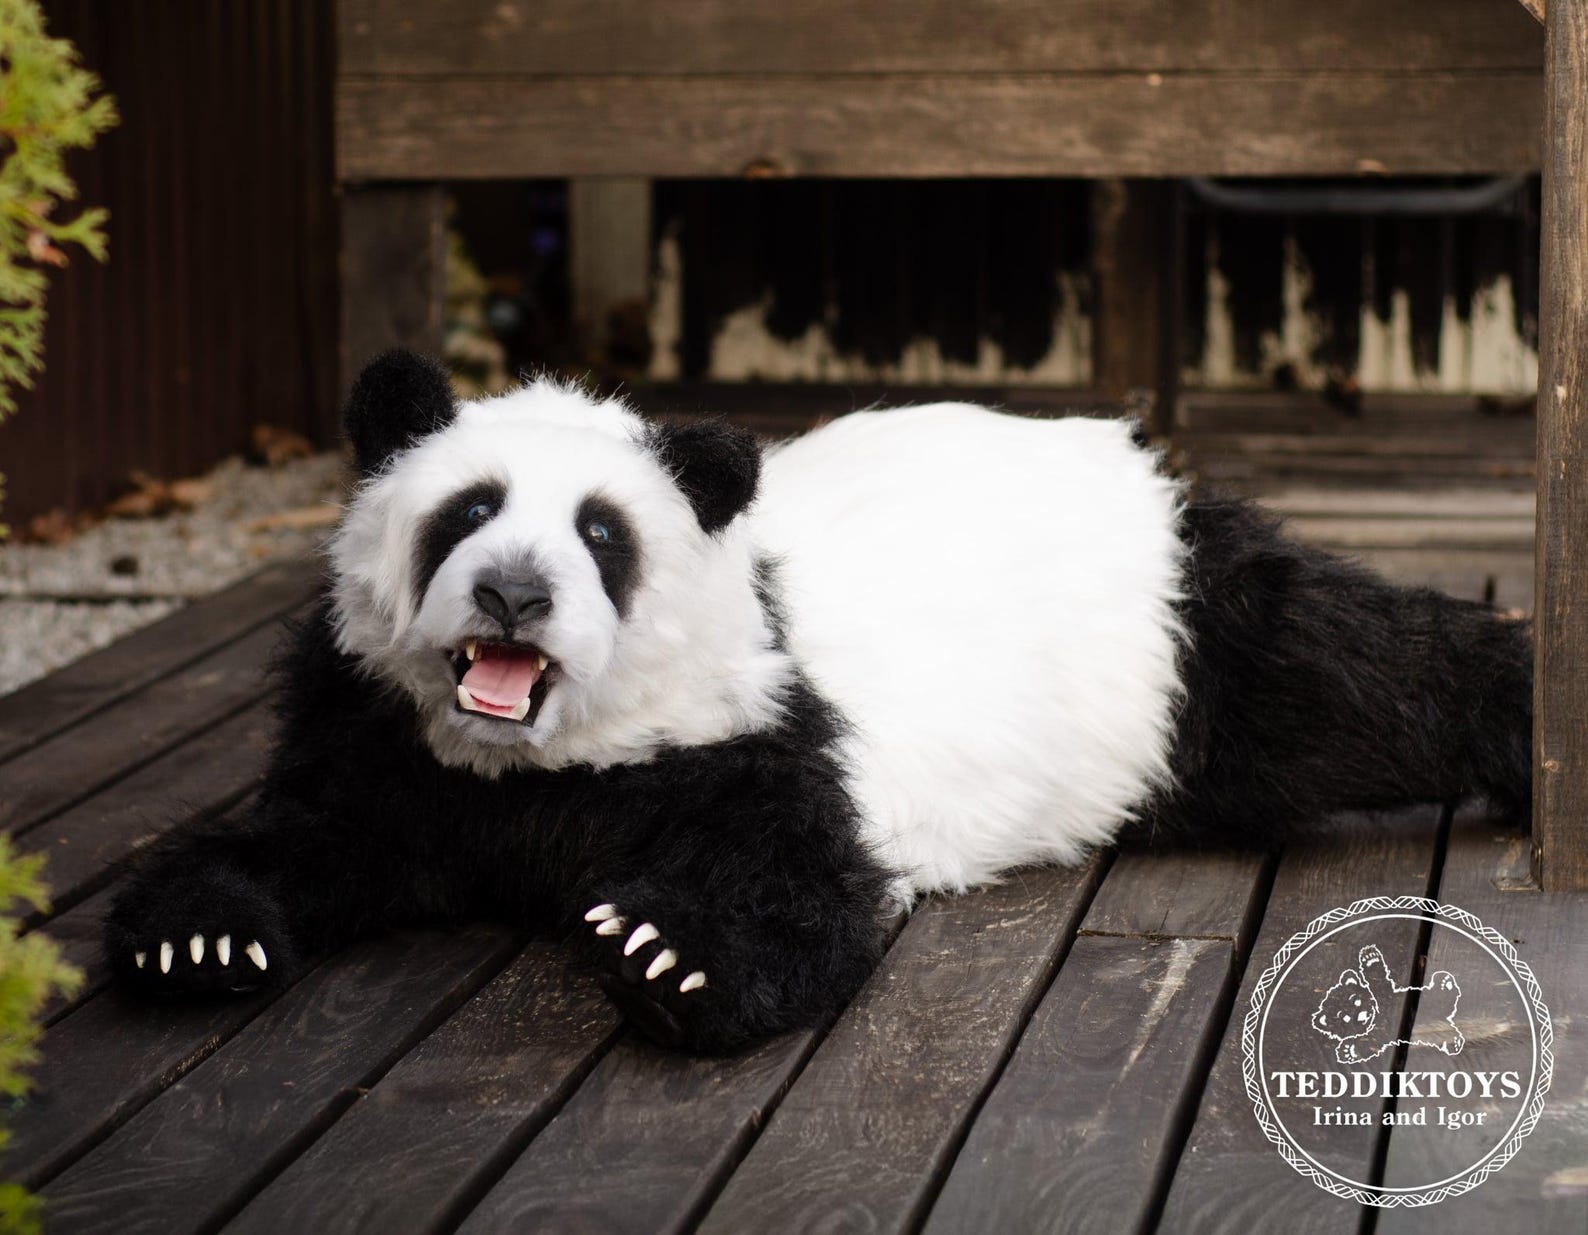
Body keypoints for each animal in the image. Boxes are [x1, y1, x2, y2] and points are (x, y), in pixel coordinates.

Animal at [104, 349, 1534, 1052]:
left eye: (601, 534)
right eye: (467, 509)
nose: (512, 593)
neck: (536, 762)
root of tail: (1128, 453)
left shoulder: (758, 717)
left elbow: (805, 882)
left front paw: (663, 952)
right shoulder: (387, 735)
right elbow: (308, 832)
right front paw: (198, 938)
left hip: (1174, 633)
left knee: (1331, 669)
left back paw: (1518, 718)